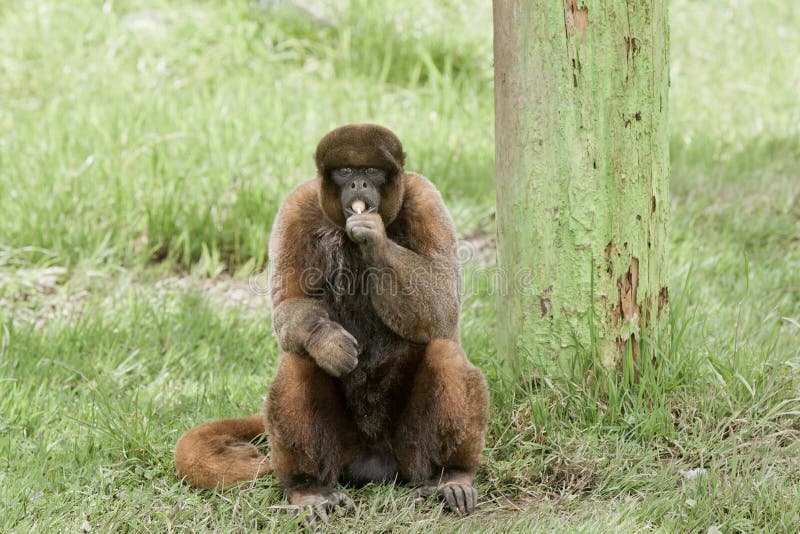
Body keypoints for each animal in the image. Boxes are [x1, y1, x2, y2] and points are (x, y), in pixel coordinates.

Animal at [174, 123, 489, 524]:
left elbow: (442, 305)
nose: (358, 184)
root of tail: (375, 464)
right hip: (339, 452)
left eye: (371, 171)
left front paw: (373, 236)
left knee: (444, 350)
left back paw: (451, 476)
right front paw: (327, 341)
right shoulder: (296, 205)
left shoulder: (426, 199)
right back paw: (309, 489)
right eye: (345, 171)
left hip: (408, 449)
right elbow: (289, 306)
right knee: (298, 358)